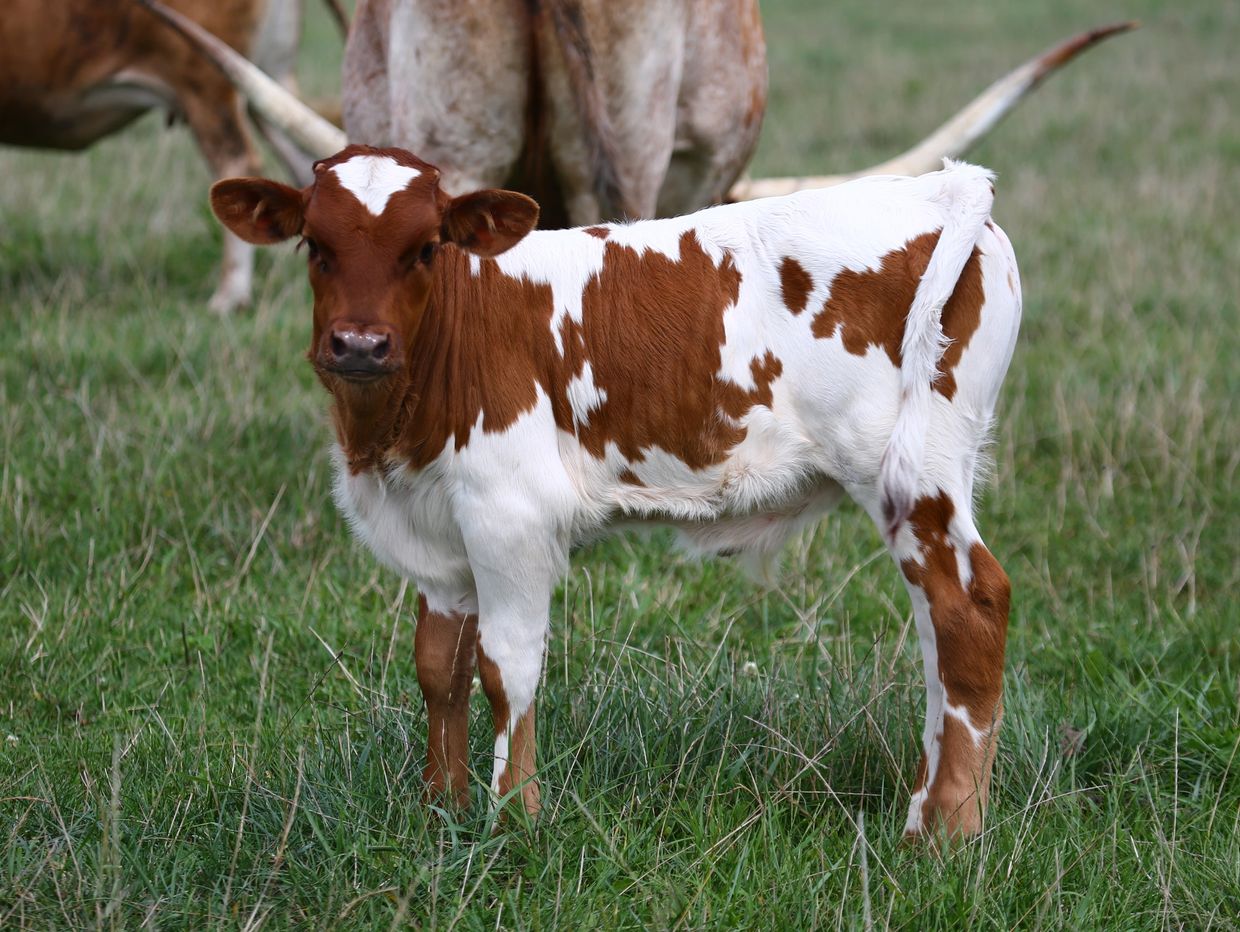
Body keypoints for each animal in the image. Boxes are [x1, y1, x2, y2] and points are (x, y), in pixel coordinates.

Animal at [208, 143, 1023, 839]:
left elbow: (507, 668)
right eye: (315, 246)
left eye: (426, 247)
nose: (360, 345)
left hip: (918, 474)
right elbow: (439, 668)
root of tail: (942, 190)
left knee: (970, 607)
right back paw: (929, 806)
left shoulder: (510, 515)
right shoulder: (441, 535)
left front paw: (514, 816)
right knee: (935, 633)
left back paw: (947, 830)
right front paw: (441, 808)